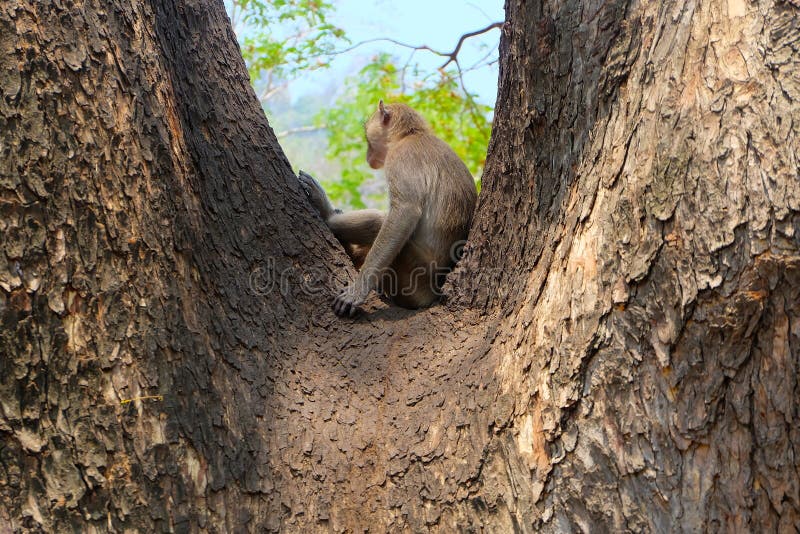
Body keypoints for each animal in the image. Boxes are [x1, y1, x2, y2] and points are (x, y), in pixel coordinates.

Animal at [298, 100, 477, 317]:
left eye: (368, 138)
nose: (367, 157)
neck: (408, 135)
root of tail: (433, 291)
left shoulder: (399, 159)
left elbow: (405, 212)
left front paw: (359, 290)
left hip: (413, 275)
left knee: (379, 222)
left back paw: (327, 215)